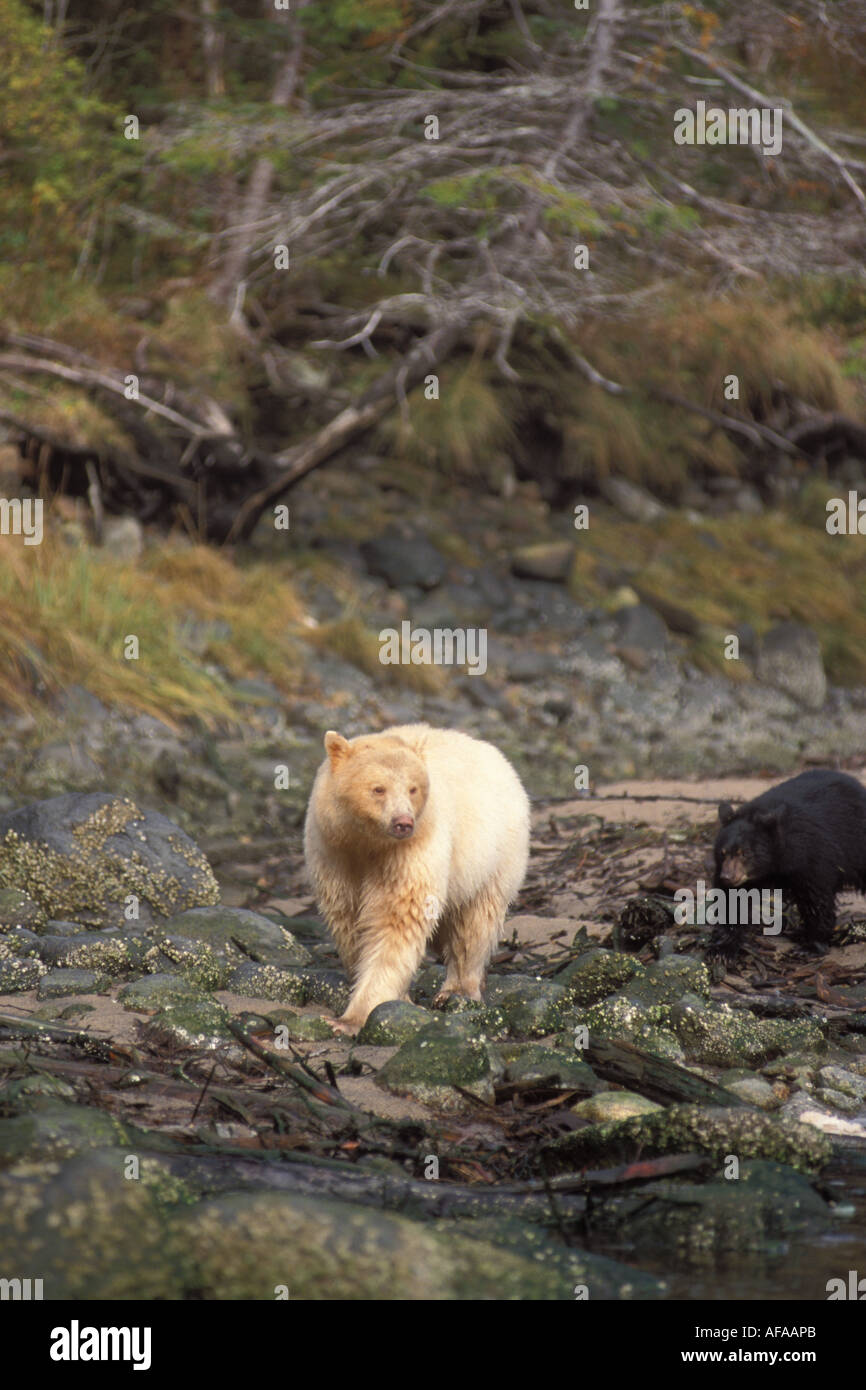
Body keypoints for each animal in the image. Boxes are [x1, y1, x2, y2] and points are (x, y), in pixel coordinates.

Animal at [304, 724, 530, 1032]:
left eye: (413, 788)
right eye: (378, 789)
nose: (403, 822)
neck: (368, 844)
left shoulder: (412, 850)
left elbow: (397, 922)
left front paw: (352, 1017)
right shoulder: (334, 852)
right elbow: (349, 922)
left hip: (494, 856)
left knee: (474, 925)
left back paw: (459, 988)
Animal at [709, 768, 866, 959]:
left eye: (745, 853)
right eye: (722, 853)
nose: (727, 877)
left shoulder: (812, 857)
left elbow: (817, 900)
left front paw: (811, 945)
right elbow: (732, 901)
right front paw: (723, 949)